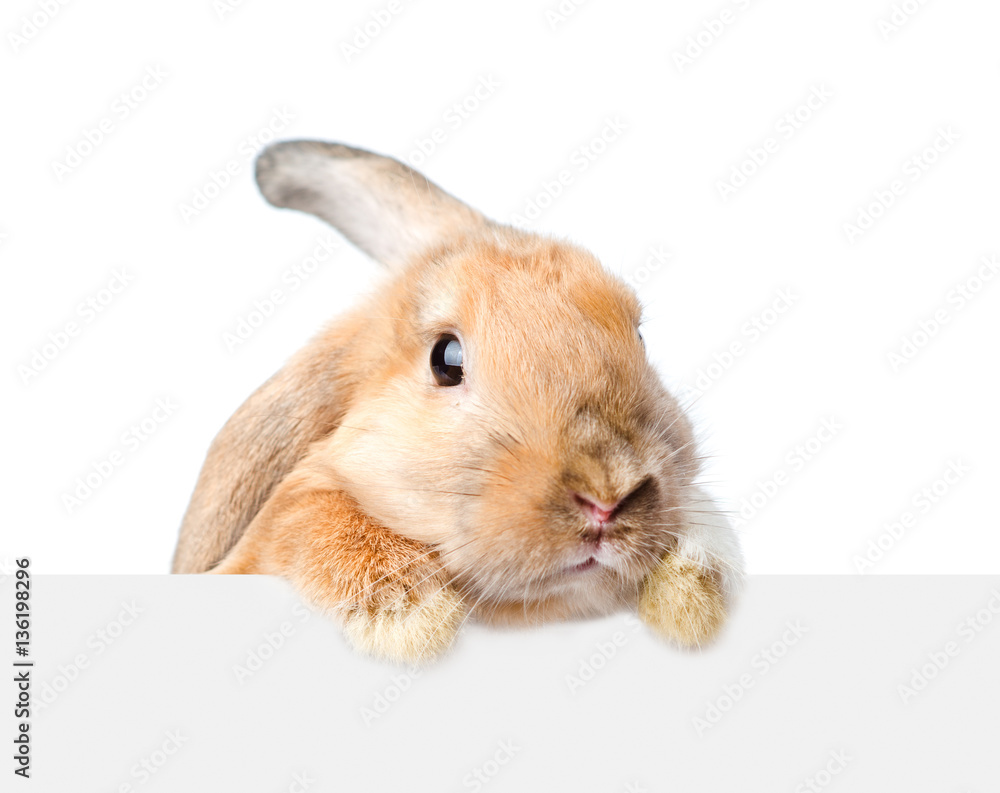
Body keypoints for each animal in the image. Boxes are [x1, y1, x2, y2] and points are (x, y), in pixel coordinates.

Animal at [172, 140, 745, 663]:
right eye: (445, 359)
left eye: (640, 338)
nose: (607, 497)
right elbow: (302, 514)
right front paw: (416, 619)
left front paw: (690, 594)